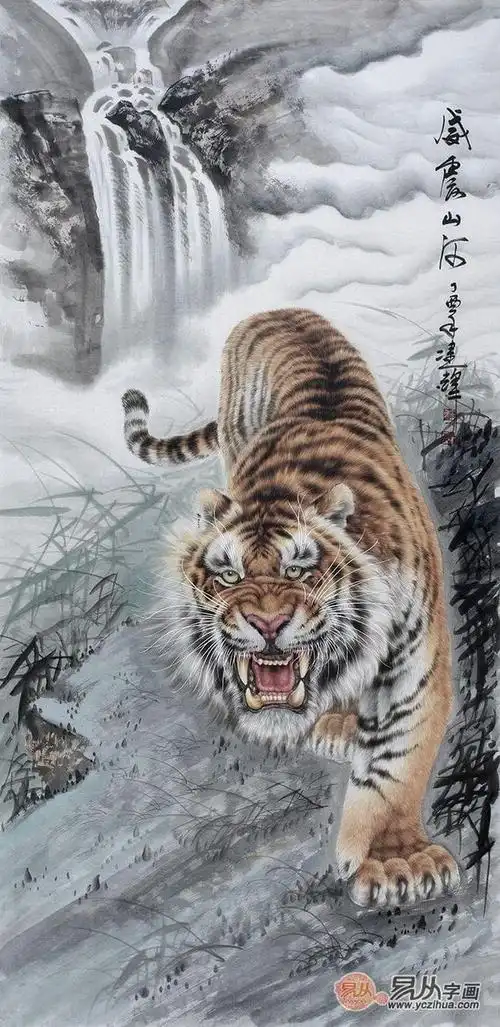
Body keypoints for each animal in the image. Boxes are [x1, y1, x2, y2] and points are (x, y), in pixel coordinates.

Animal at [122, 307, 460, 908]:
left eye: (301, 569)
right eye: (228, 574)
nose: (267, 623)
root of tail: (276, 310)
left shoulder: (413, 666)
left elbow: (398, 763)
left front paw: (396, 861)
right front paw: (397, 863)